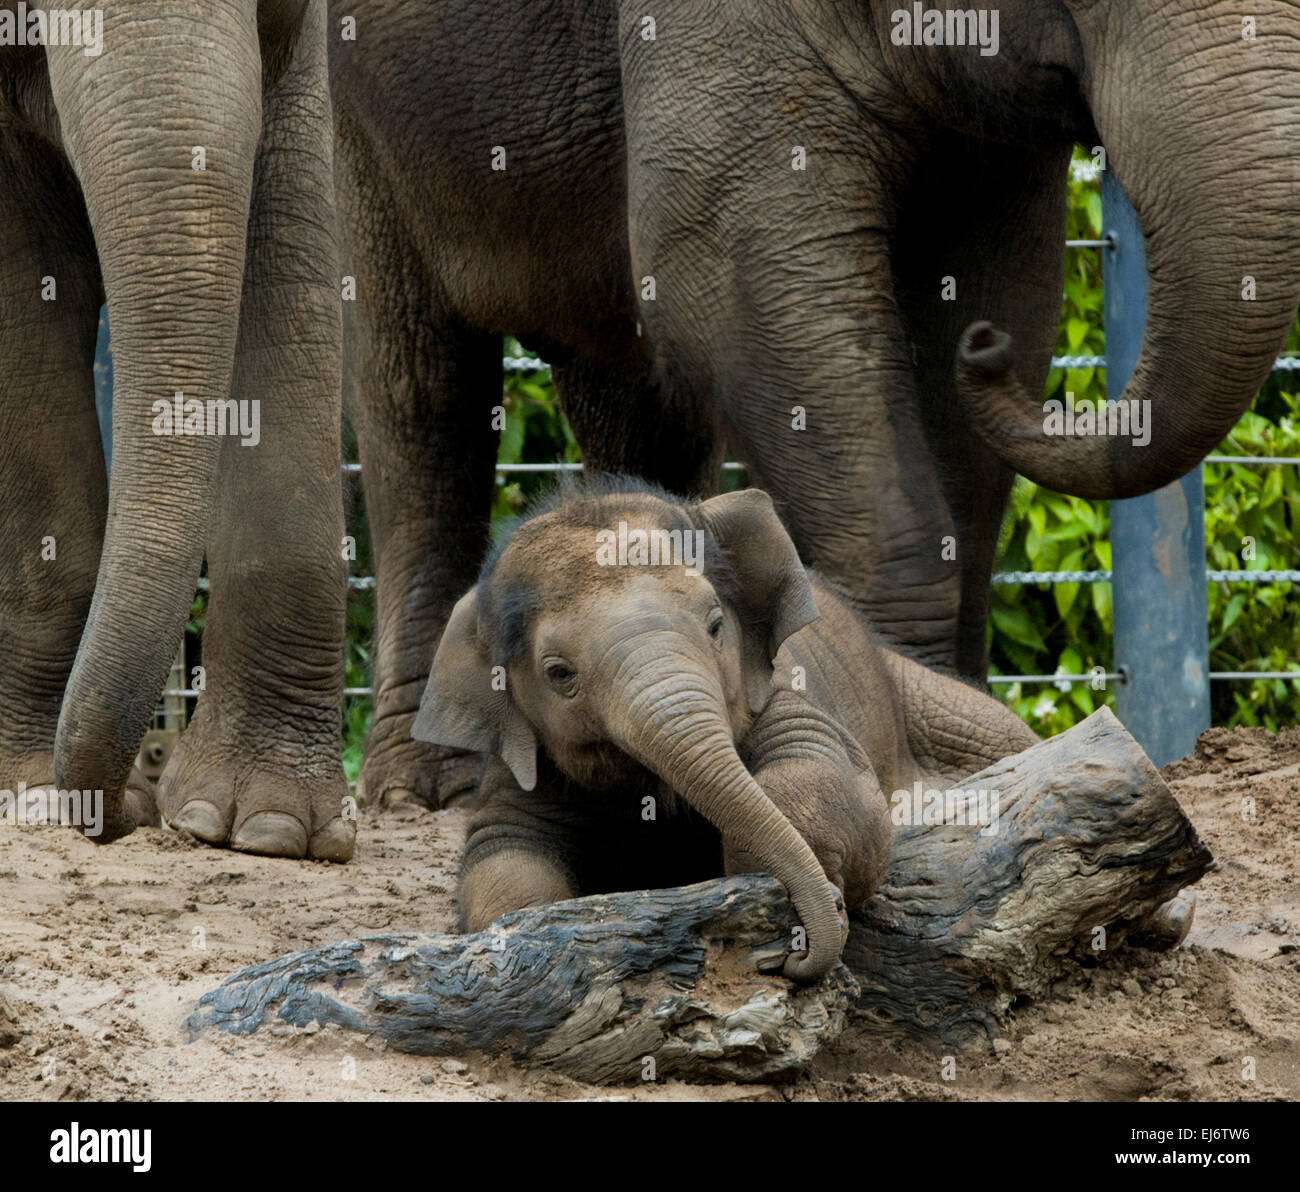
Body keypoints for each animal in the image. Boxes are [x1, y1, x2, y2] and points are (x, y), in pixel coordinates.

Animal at [330, 0, 1300, 810]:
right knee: (417, 392)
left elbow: (1006, 280)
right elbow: (729, 265)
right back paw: (426, 785)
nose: (985, 355)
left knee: (628, 391)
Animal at [411, 480, 1040, 980]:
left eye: (716, 624)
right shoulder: (520, 766)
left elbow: (827, 778)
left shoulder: (786, 694)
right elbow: (502, 861)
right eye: (559, 673)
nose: (797, 956)